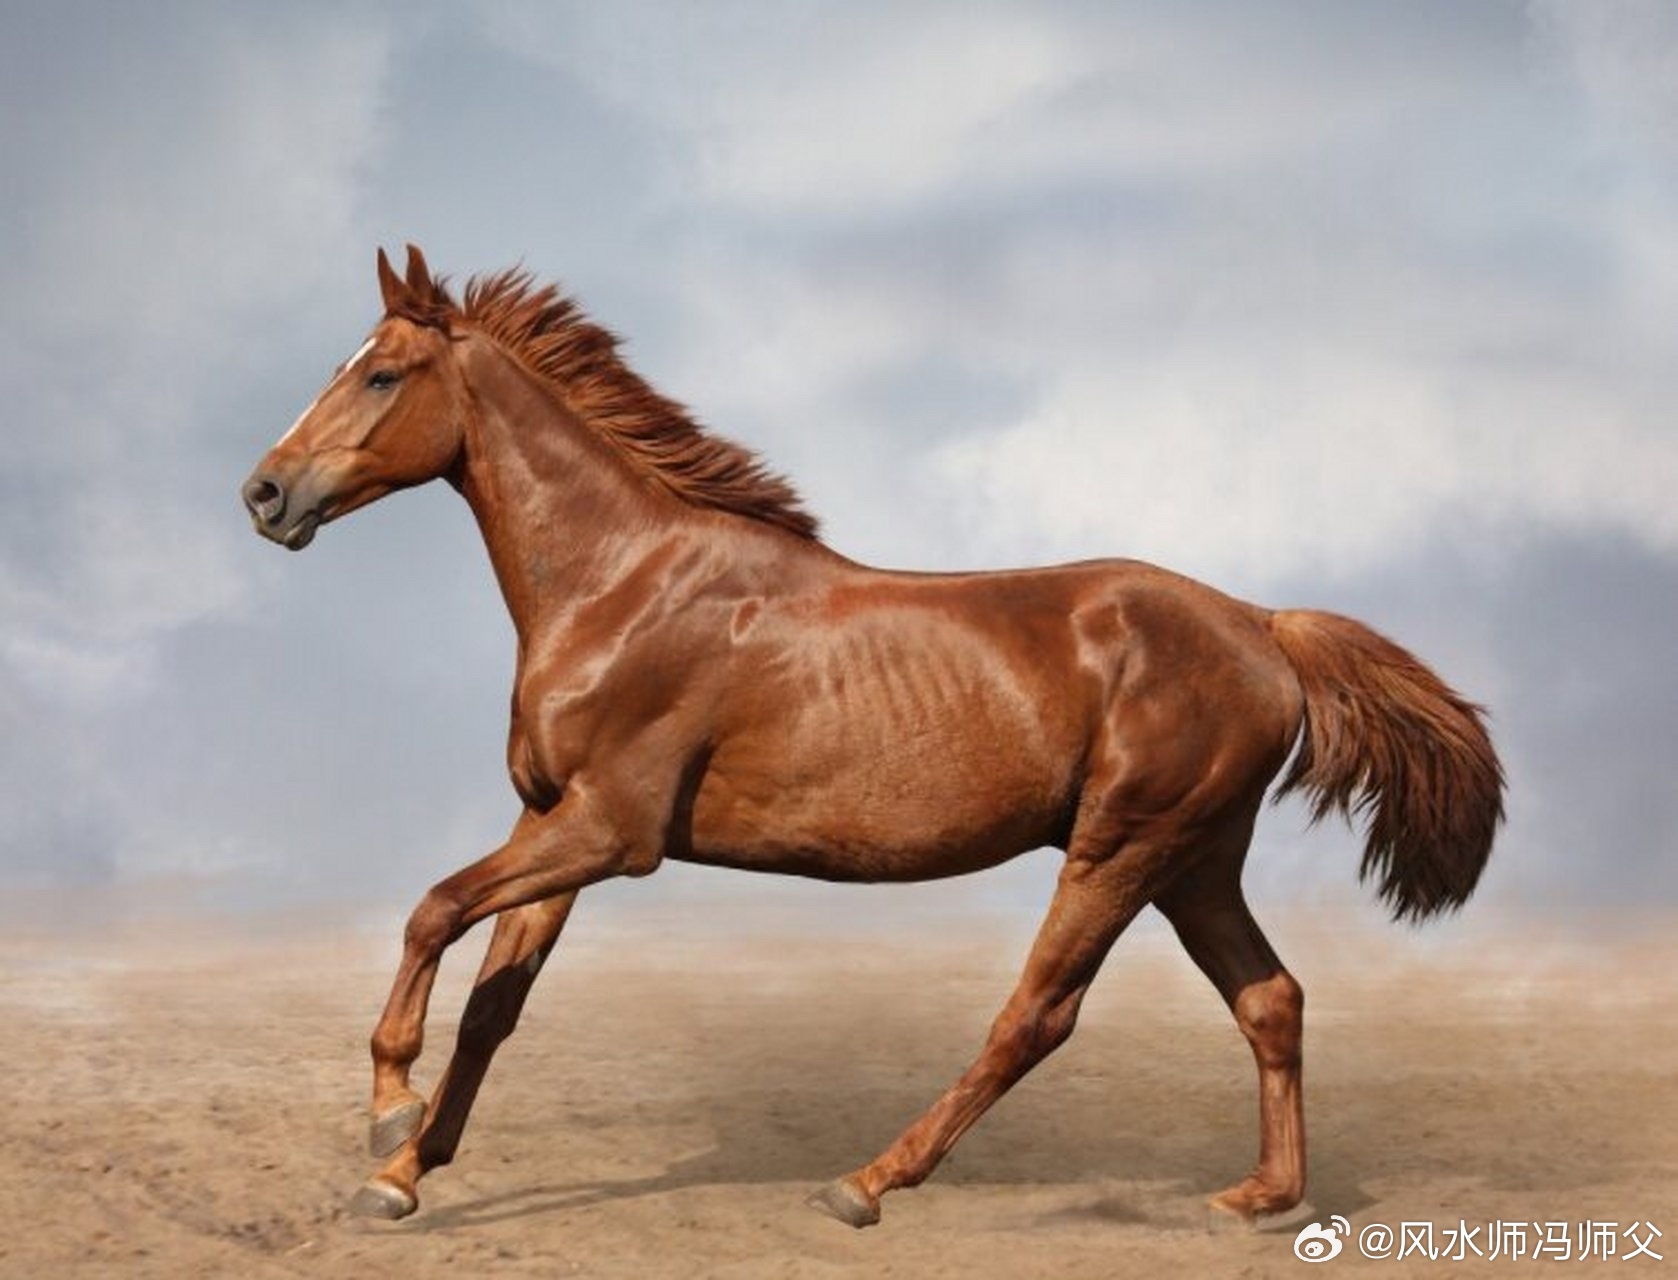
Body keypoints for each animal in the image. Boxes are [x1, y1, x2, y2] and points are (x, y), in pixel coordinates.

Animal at [241, 245, 1503, 1227]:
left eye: (382, 372)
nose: (264, 493)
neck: (624, 582)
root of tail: (1260, 625)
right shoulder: (551, 819)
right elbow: (494, 1001)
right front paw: (404, 1174)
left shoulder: (611, 829)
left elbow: (432, 908)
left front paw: (388, 1115)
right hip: (1196, 859)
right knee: (1270, 998)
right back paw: (1261, 1197)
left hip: (1123, 849)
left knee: (1036, 1015)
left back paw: (866, 1181)